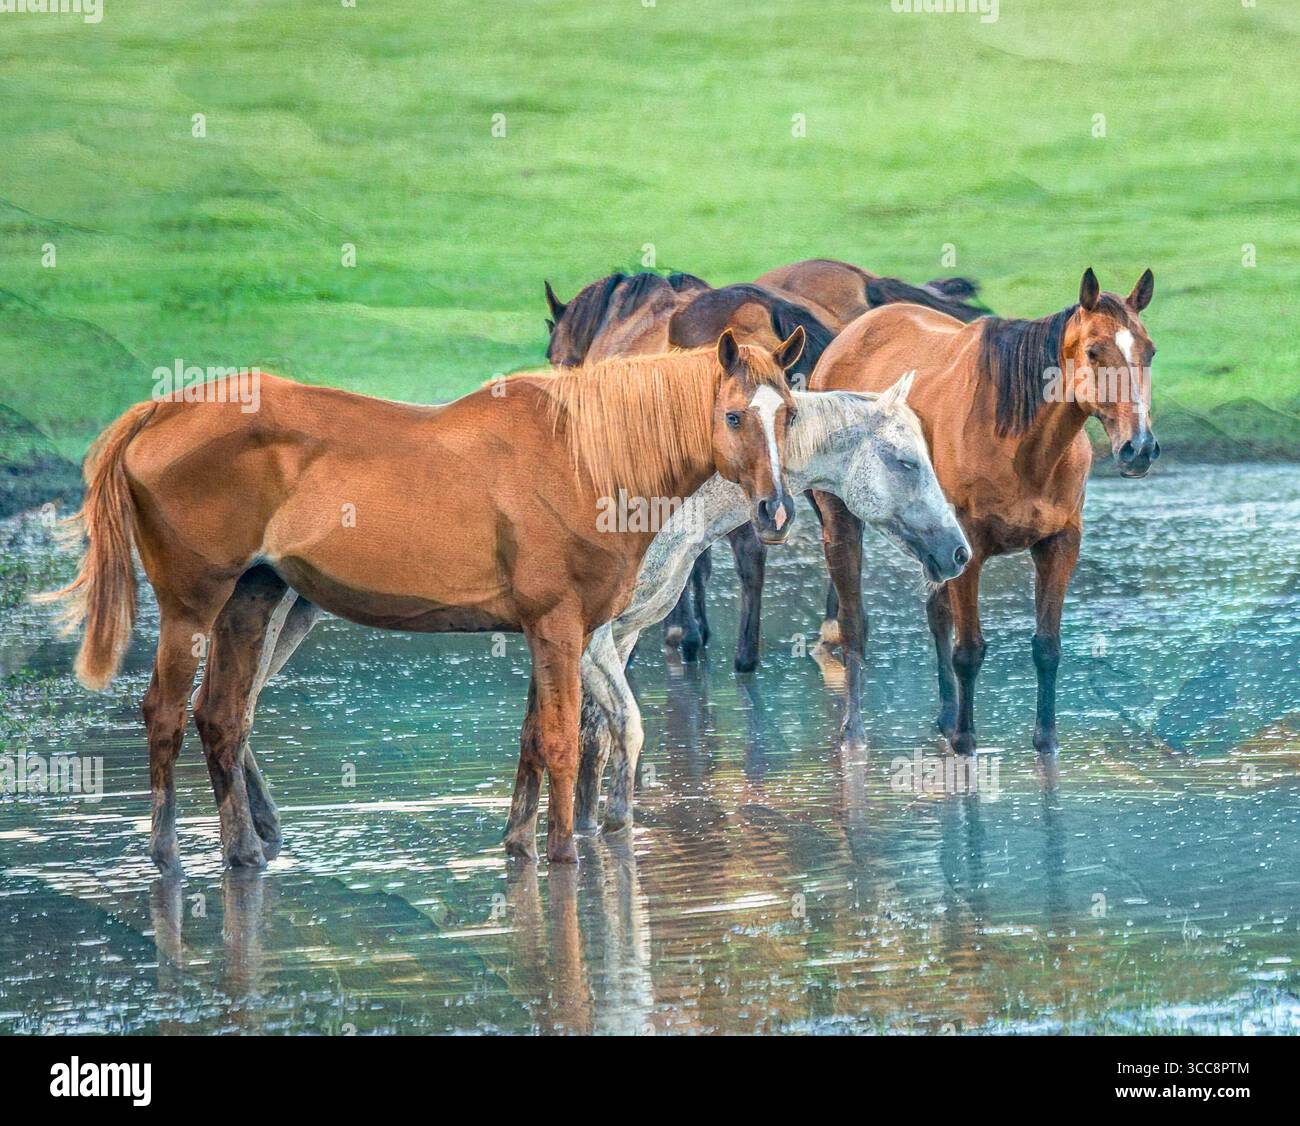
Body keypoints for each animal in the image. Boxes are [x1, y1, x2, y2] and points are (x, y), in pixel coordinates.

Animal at [38, 331, 805, 871]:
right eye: (734, 416)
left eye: (789, 415)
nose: (775, 511)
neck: (585, 455)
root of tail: (162, 410)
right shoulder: (561, 627)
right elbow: (563, 742)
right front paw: (563, 853)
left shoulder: (548, 632)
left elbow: (534, 741)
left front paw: (519, 842)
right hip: (192, 609)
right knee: (167, 715)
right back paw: (167, 853)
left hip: (255, 600)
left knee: (223, 717)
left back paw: (246, 850)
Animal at [810, 267, 1159, 755]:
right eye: (1093, 351)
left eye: (1149, 351)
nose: (1138, 448)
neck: (1020, 443)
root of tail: (843, 342)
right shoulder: (969, 548)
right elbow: (969, 650)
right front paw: (965, 739)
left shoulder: (1059, 544)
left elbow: (1046, 646)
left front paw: (1045, 740)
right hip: (842, 522)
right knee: (853, 624)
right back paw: (854, 730)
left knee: (936, 612)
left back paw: (944, 714)